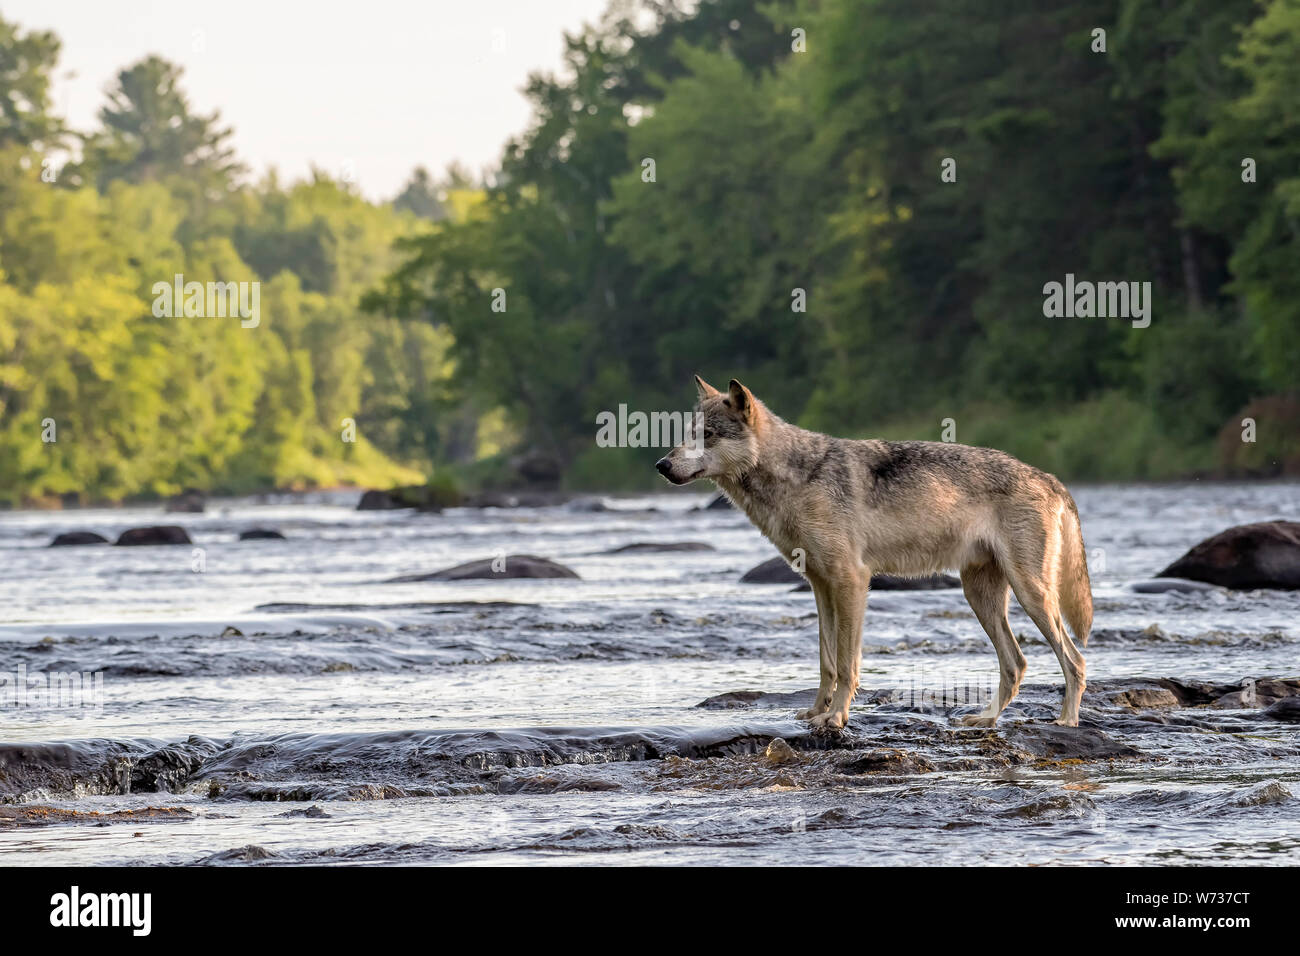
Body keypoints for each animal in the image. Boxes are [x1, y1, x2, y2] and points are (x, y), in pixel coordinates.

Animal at [656, 376, 1091, 730]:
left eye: (708, 435)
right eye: (688, 434)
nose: (661, 465)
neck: (796, 477)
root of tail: (1049, 477)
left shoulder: (851, 582)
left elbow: (847, 665)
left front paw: (836, 717)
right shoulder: (821, 587)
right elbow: (827, 663)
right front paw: (815, 713)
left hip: (1030, 595)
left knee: (1074, 660)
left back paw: (1066, 721)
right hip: (981, 597)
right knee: (1017, 663)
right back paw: (986, 718)